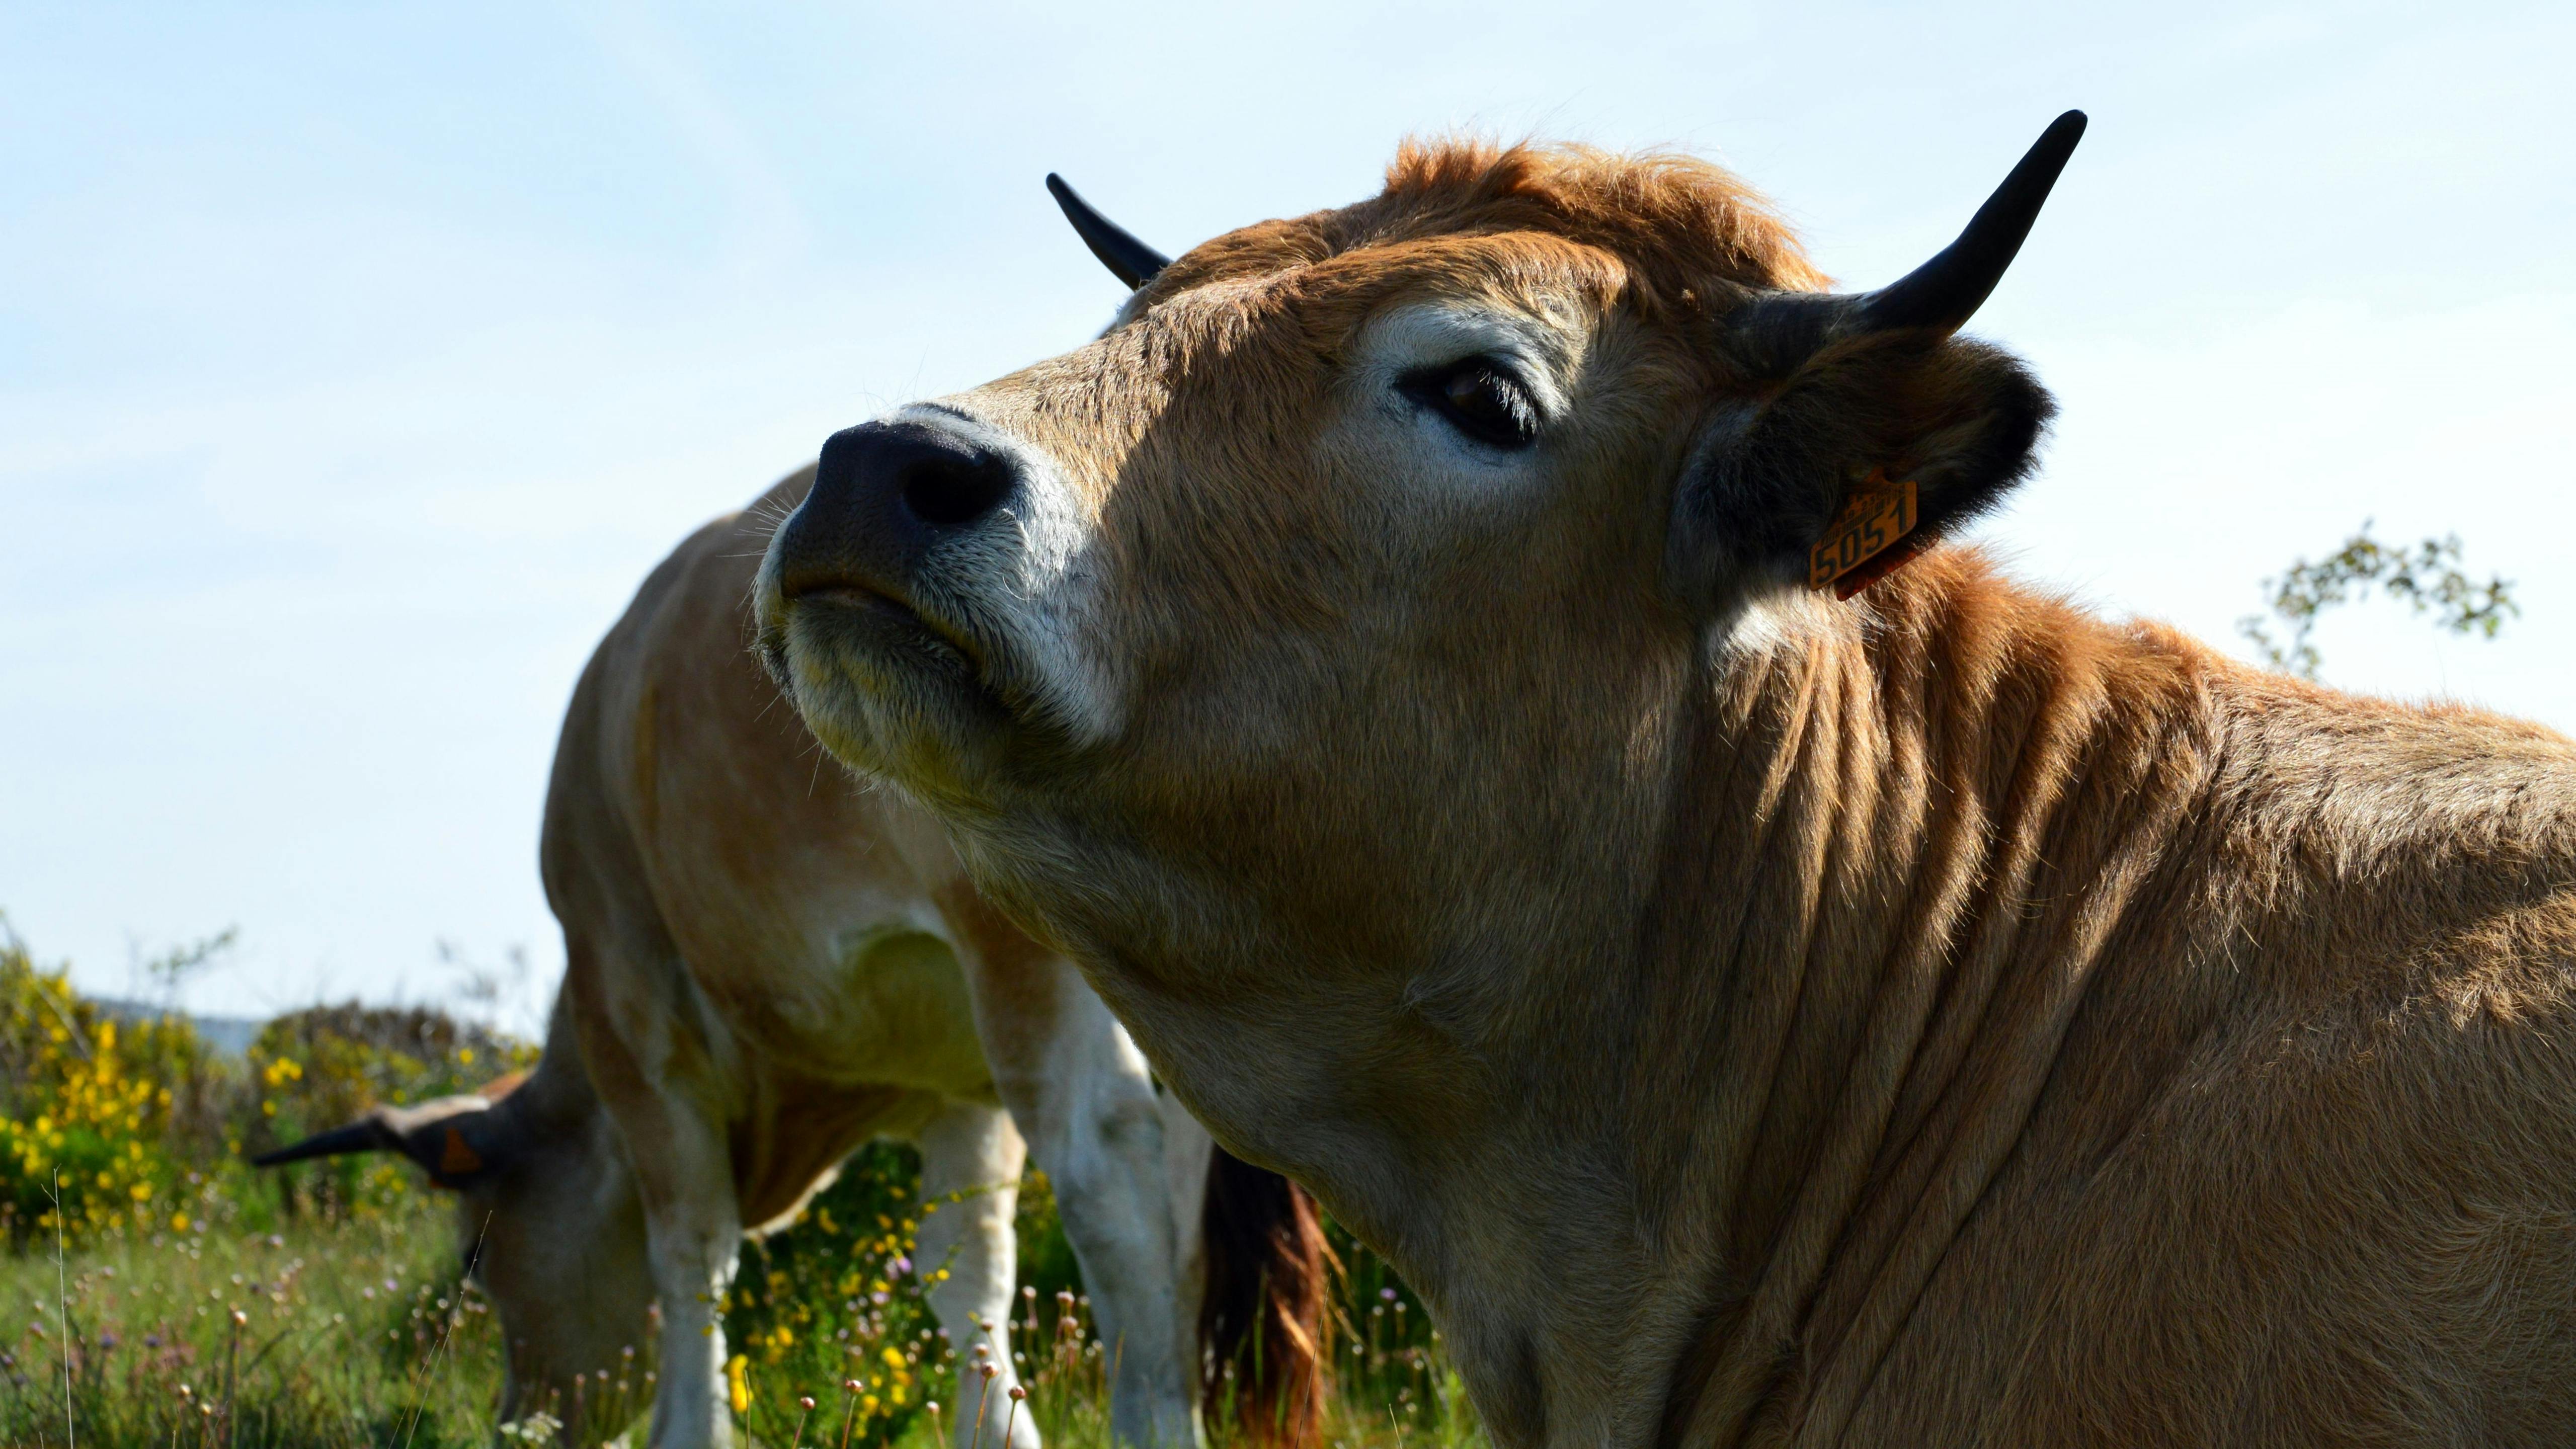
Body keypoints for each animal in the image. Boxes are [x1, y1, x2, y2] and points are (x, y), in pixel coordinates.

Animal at [256, 479, 1330, 1449]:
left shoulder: (628, 1006)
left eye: (478, 1263)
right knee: (1183, 1218)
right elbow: (967, 1275)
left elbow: (690, 1248)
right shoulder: (958, 1090)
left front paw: (688, 1431)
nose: (519, 1422)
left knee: (1109, 1168)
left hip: (1025, 950)